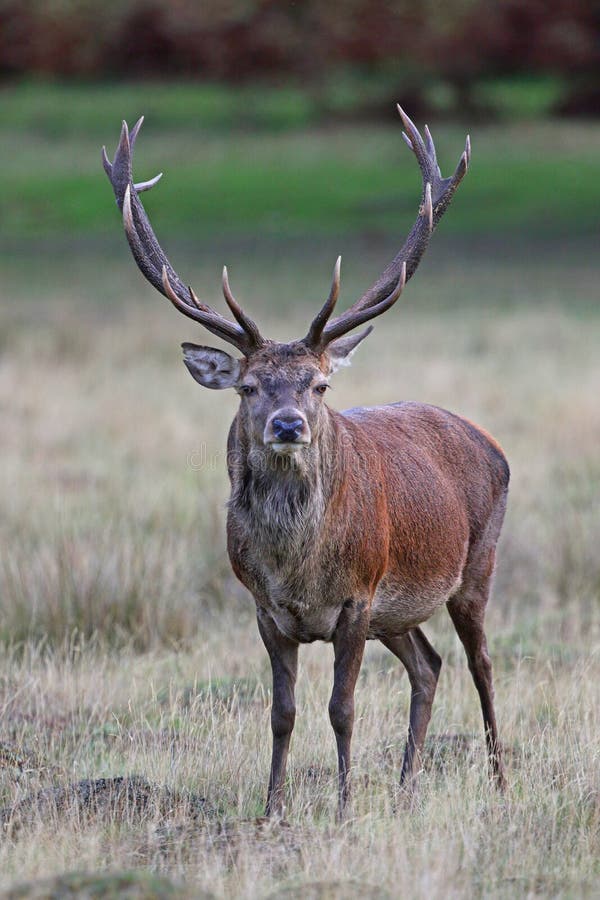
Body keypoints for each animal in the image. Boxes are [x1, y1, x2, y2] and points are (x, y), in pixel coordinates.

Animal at [103, 107, 509, 819]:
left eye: (319, 385)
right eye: (247, 386)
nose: (288, 424)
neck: (299, 567)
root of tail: (493, 445)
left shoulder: (356, 597)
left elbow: (341, 710)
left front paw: (345, 808)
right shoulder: (266, 610)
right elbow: (282, 713)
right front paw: (272, 809)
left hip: (474, 566)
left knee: (481, 664)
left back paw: (500, 781)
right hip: (395, 613)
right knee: (427, 665)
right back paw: (405, 789)